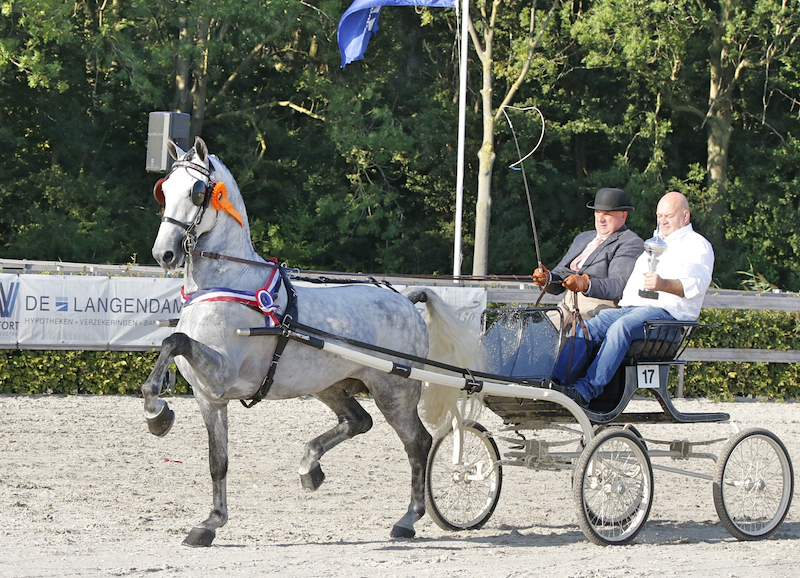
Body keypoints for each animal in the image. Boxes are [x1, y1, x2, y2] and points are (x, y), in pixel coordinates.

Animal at [141, 137, 479, 547]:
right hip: (329, 385)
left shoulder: (222, 374)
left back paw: (408, 519)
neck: (228, 283)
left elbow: (174, 340)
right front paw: (210, 523)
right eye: (164, 190)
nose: (164, 253)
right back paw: (309, 466)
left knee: (418, 444)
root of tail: (405, 299)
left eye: (196, 190)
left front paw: (157, 414)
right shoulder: (211, 397)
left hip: (393, 392)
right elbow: (217, 462)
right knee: (359, 421)